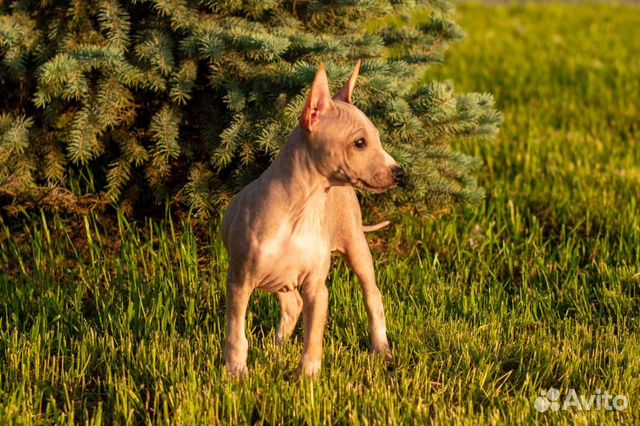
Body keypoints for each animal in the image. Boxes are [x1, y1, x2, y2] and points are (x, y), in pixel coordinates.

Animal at [222, 60, 402, 376]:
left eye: (377, 139)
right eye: (360, 143)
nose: (399, 172)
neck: (301, 210)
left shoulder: (317, 289)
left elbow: (314, 337)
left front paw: (307, 377)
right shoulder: (239, 282)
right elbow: (236, 334)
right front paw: (236, 374)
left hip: (356, 246)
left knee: (373, 297)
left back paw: (381, 349)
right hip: (278, 277)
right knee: (291, 304)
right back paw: (277, 348)